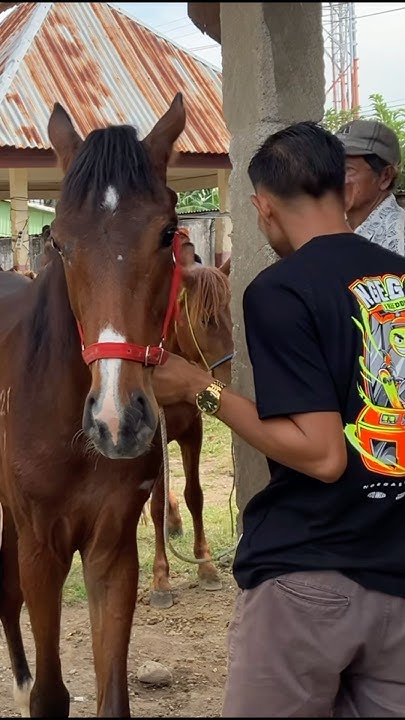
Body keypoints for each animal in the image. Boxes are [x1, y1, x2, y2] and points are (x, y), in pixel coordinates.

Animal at [0, 94, 186, 718]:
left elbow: (113, 699)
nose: (116, 422)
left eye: (167, 233)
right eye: (58, 240)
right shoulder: (42, 549)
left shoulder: (112, 550)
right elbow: (50, 696)